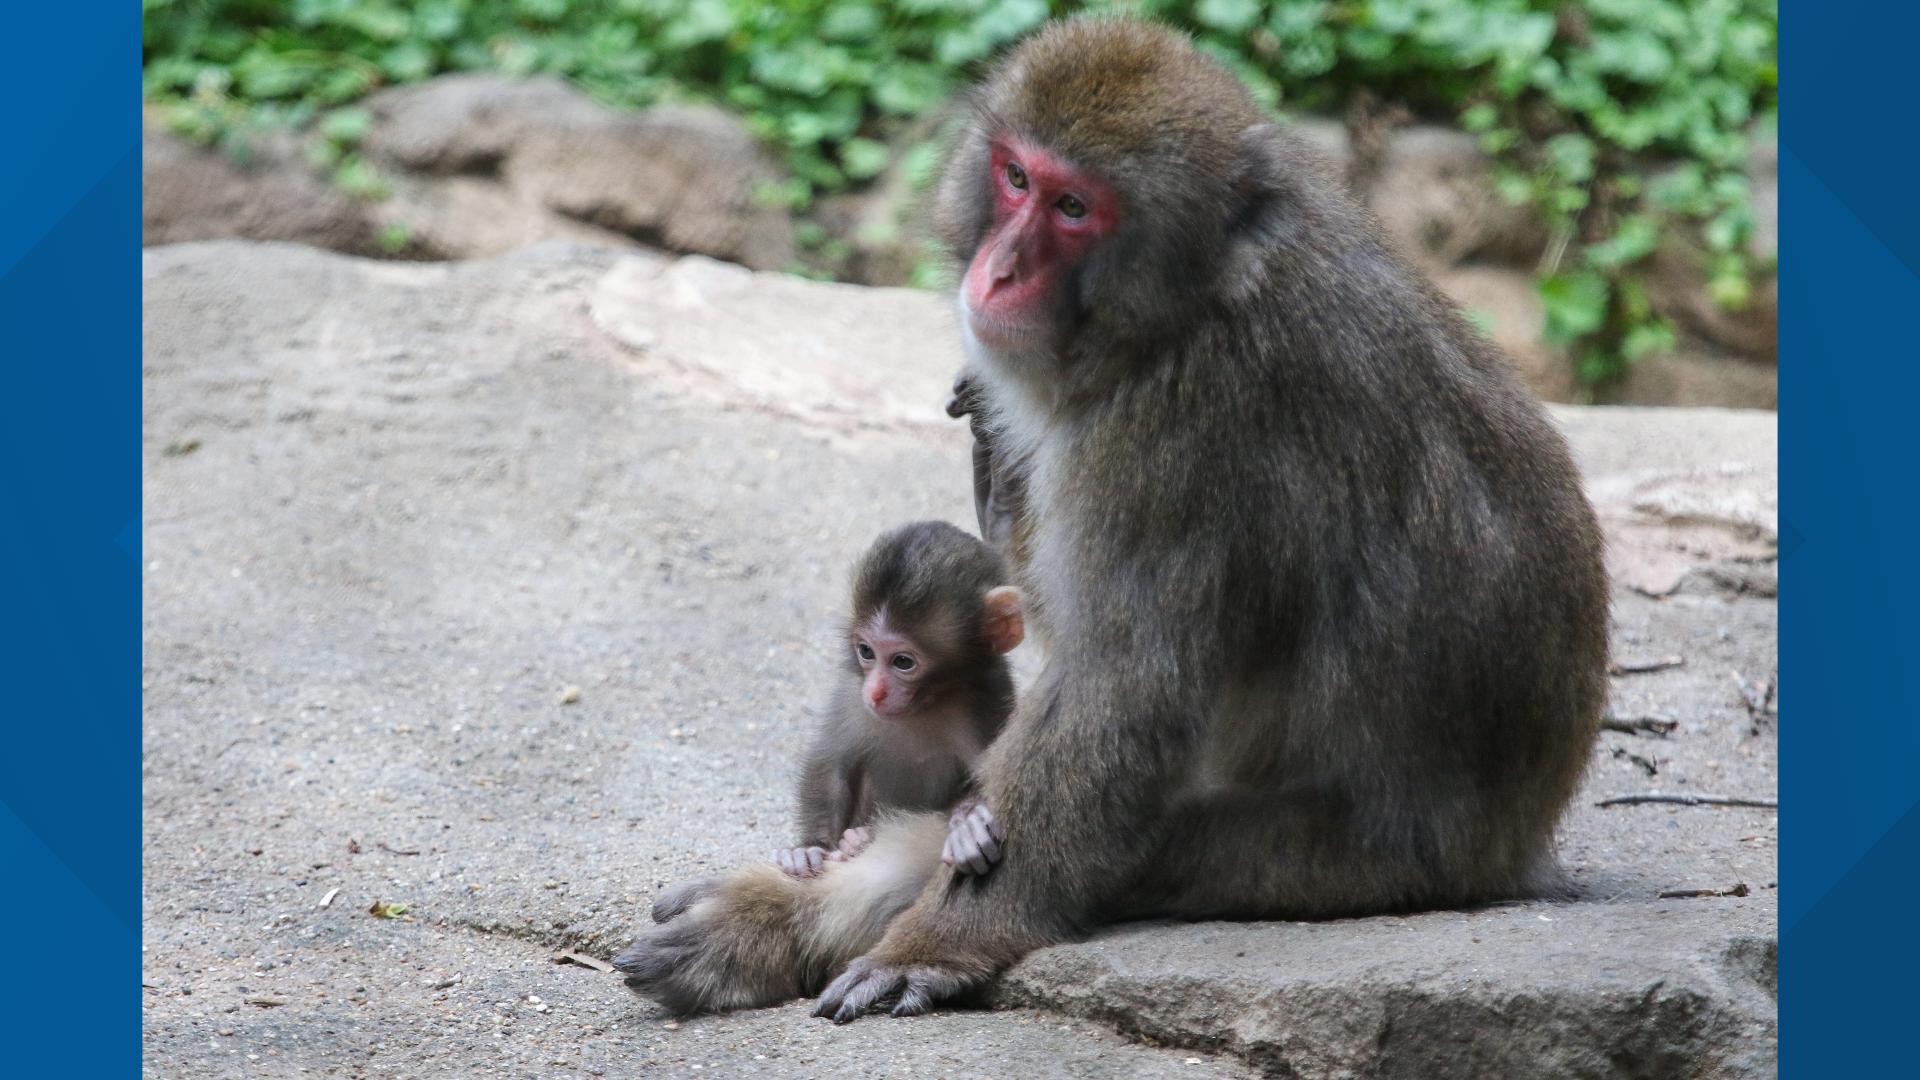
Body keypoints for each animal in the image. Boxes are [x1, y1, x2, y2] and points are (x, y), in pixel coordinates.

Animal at [615, 15, 1608, 1022]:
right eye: (1016, 178)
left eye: (1073, 208)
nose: (999, 270)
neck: (1190, 306)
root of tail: (1513, 842)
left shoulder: (1174, 438)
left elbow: (1125, 686)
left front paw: (940, 939)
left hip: (1320, 862)